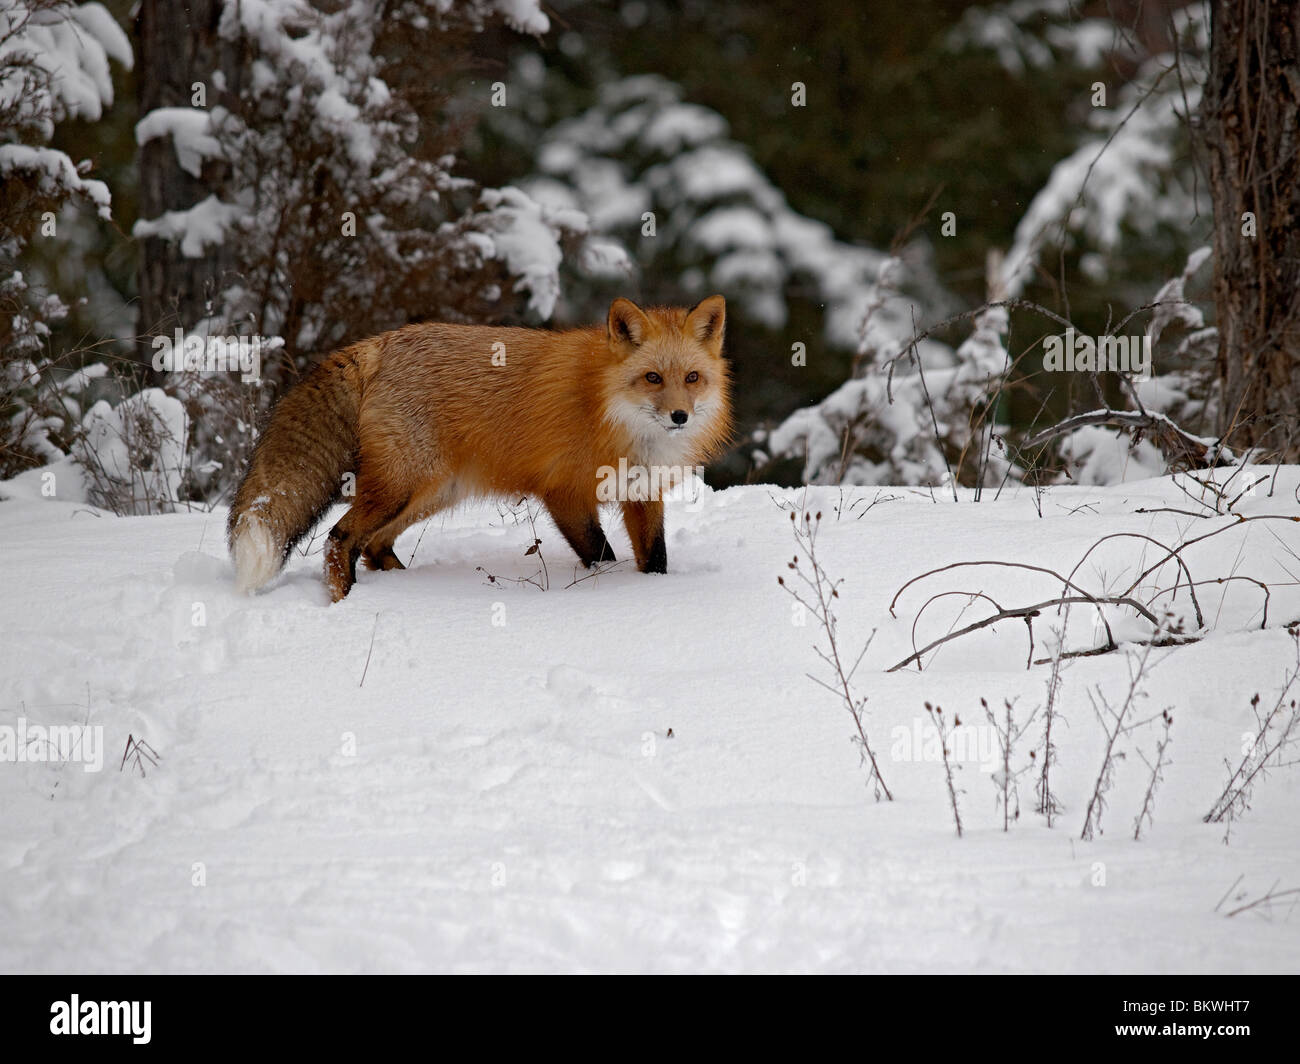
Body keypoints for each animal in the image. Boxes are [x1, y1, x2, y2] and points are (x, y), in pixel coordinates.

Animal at [227, 295, 732, 601]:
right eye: (652, 378)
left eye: (692, 378)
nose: (680, 417)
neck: (609, 411)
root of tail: (379, 342)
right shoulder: (564, 493)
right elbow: (601, 556)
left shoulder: (643, 494)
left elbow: (656, 559)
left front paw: (652, 595)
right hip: (402, 487)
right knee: (340, 539)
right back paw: (348, 603)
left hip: (431, 493)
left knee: (374, 545)